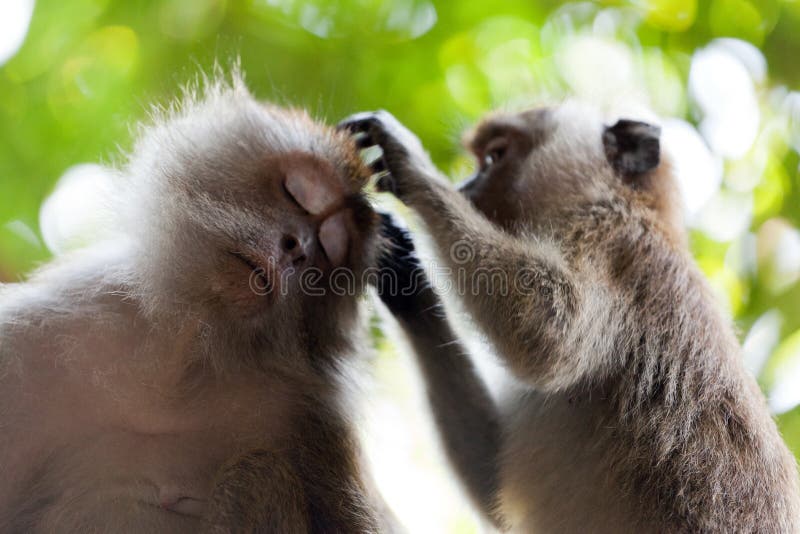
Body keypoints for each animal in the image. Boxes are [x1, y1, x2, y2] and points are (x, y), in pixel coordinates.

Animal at [0, 76, 398, 533]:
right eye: (296, 194)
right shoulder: (36, 337)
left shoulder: (316, 413)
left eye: (329, 248)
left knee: (258, 473)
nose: (296, 249)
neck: (184, 362)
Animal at [340, 105, 800, 533]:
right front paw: (403, 276)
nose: (462, 188)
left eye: (493, 158)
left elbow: (548, 333)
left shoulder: (611, 240)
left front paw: (408, 161)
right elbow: (490, 470)